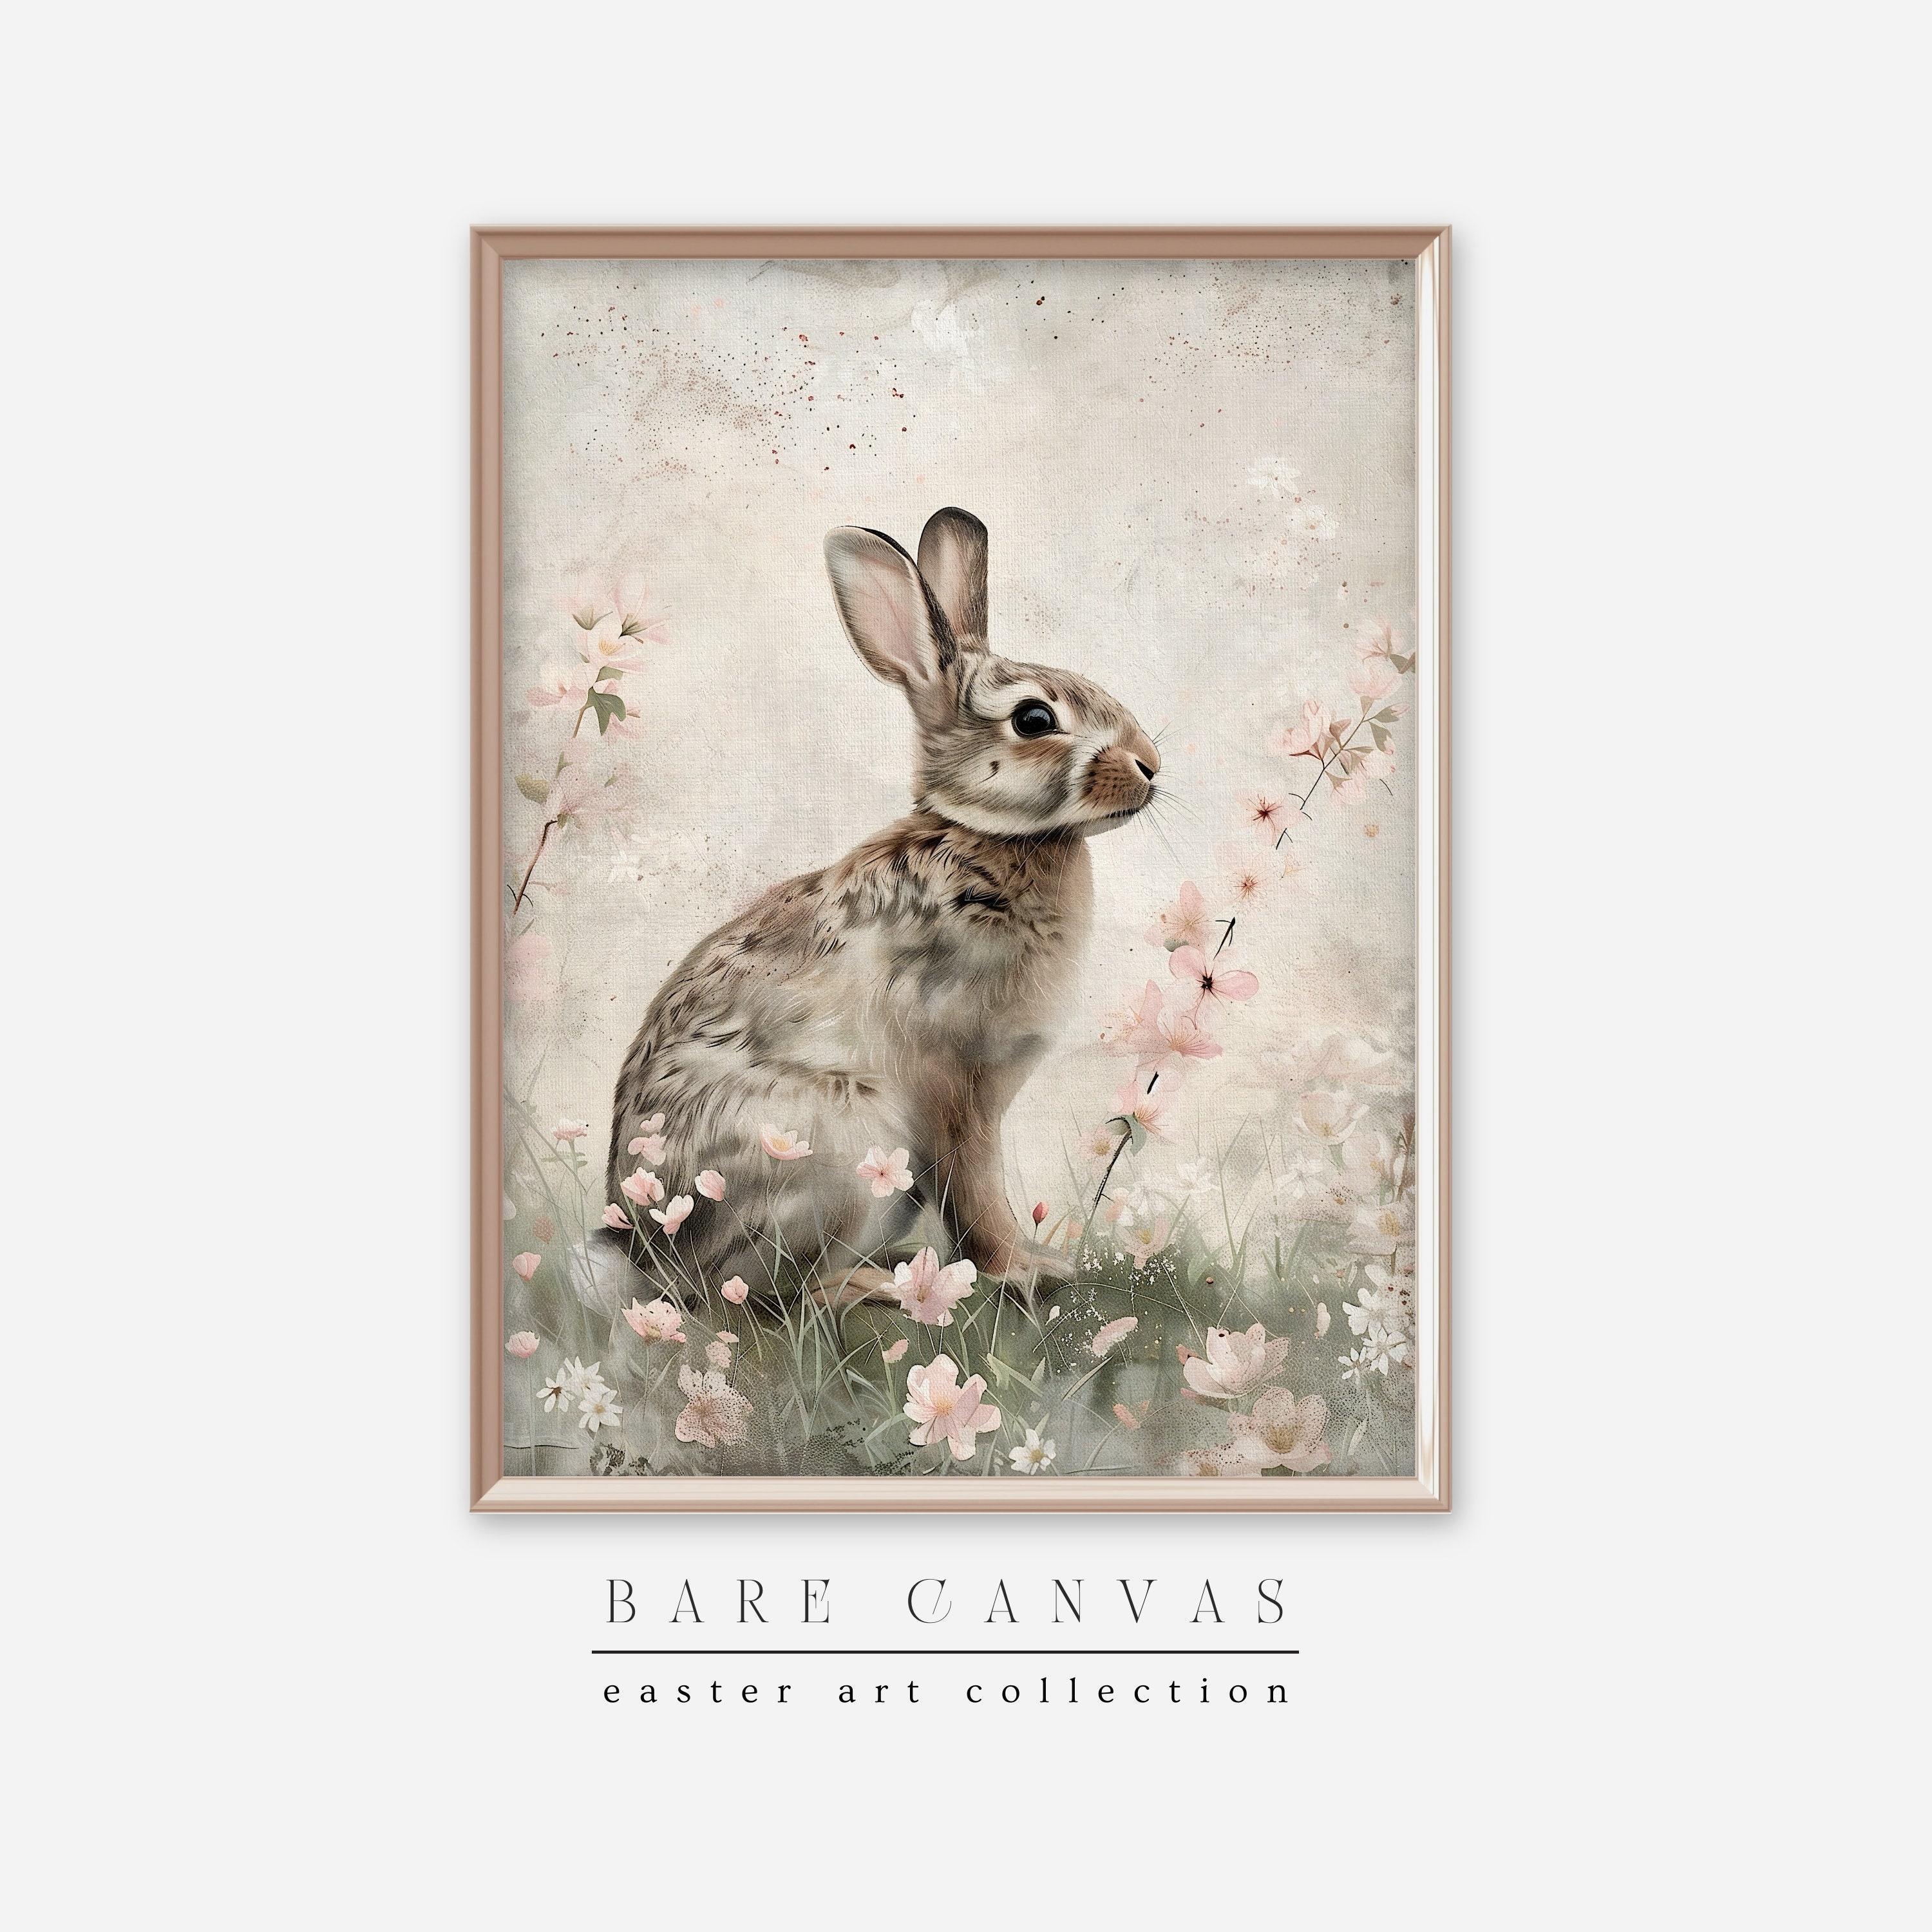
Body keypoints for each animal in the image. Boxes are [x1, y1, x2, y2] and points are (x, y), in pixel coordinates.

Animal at [601, 507, 1160, 1310]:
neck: (986, 840)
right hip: (835, 1140)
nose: (1152, 765)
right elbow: (975, 1189)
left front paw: (1034, 1264)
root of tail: (649, 1251)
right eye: (1033, 718)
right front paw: (1019, 1271)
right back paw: (883, 1288)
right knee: (770, 1292)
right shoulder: (955, 1082)